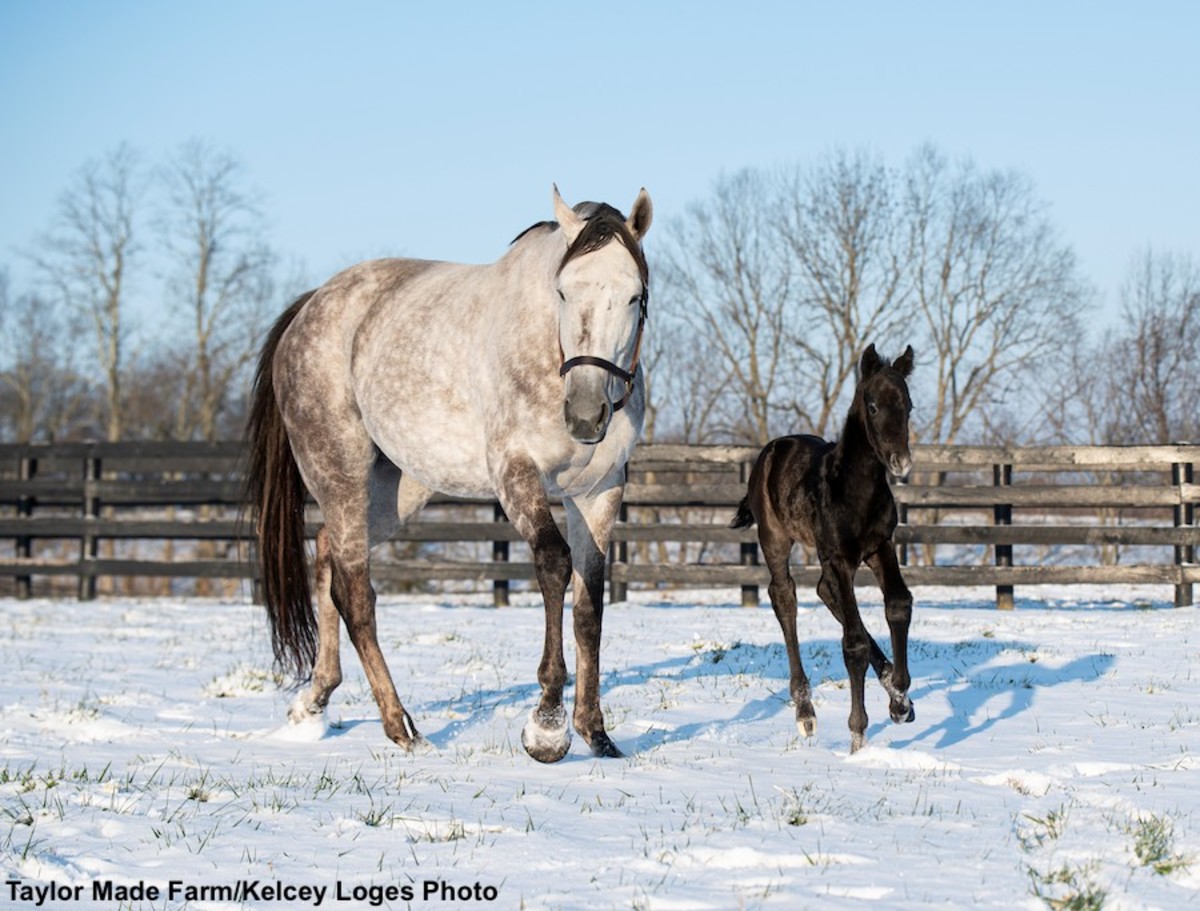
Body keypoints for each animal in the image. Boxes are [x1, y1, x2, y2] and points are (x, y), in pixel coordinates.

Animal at [246, 186, 653, 763]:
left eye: (635, 296)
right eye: (563, 293)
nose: (584, 413)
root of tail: (312, 306)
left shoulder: (599, 490)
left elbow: (589, 603)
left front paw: (595, 732)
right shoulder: (515, 474)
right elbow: (554, 566)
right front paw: (547, 728)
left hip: (396, 488)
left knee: (326, 557)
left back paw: (315, 701)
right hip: (339, 469)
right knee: (355, 592)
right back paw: (400, 725)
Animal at [731, 344, 917, 753]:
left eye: (909, 406)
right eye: (873, 407)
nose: (901, 462)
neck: (854, 489)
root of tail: (775, 447)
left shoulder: (880, 546)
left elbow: (898, 604)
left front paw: (900, 698)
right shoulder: (840, 558)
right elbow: (853, 643)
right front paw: (858, 733)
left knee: (824, 591)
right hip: (775, 539)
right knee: (785, 597)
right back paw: (805, 712)